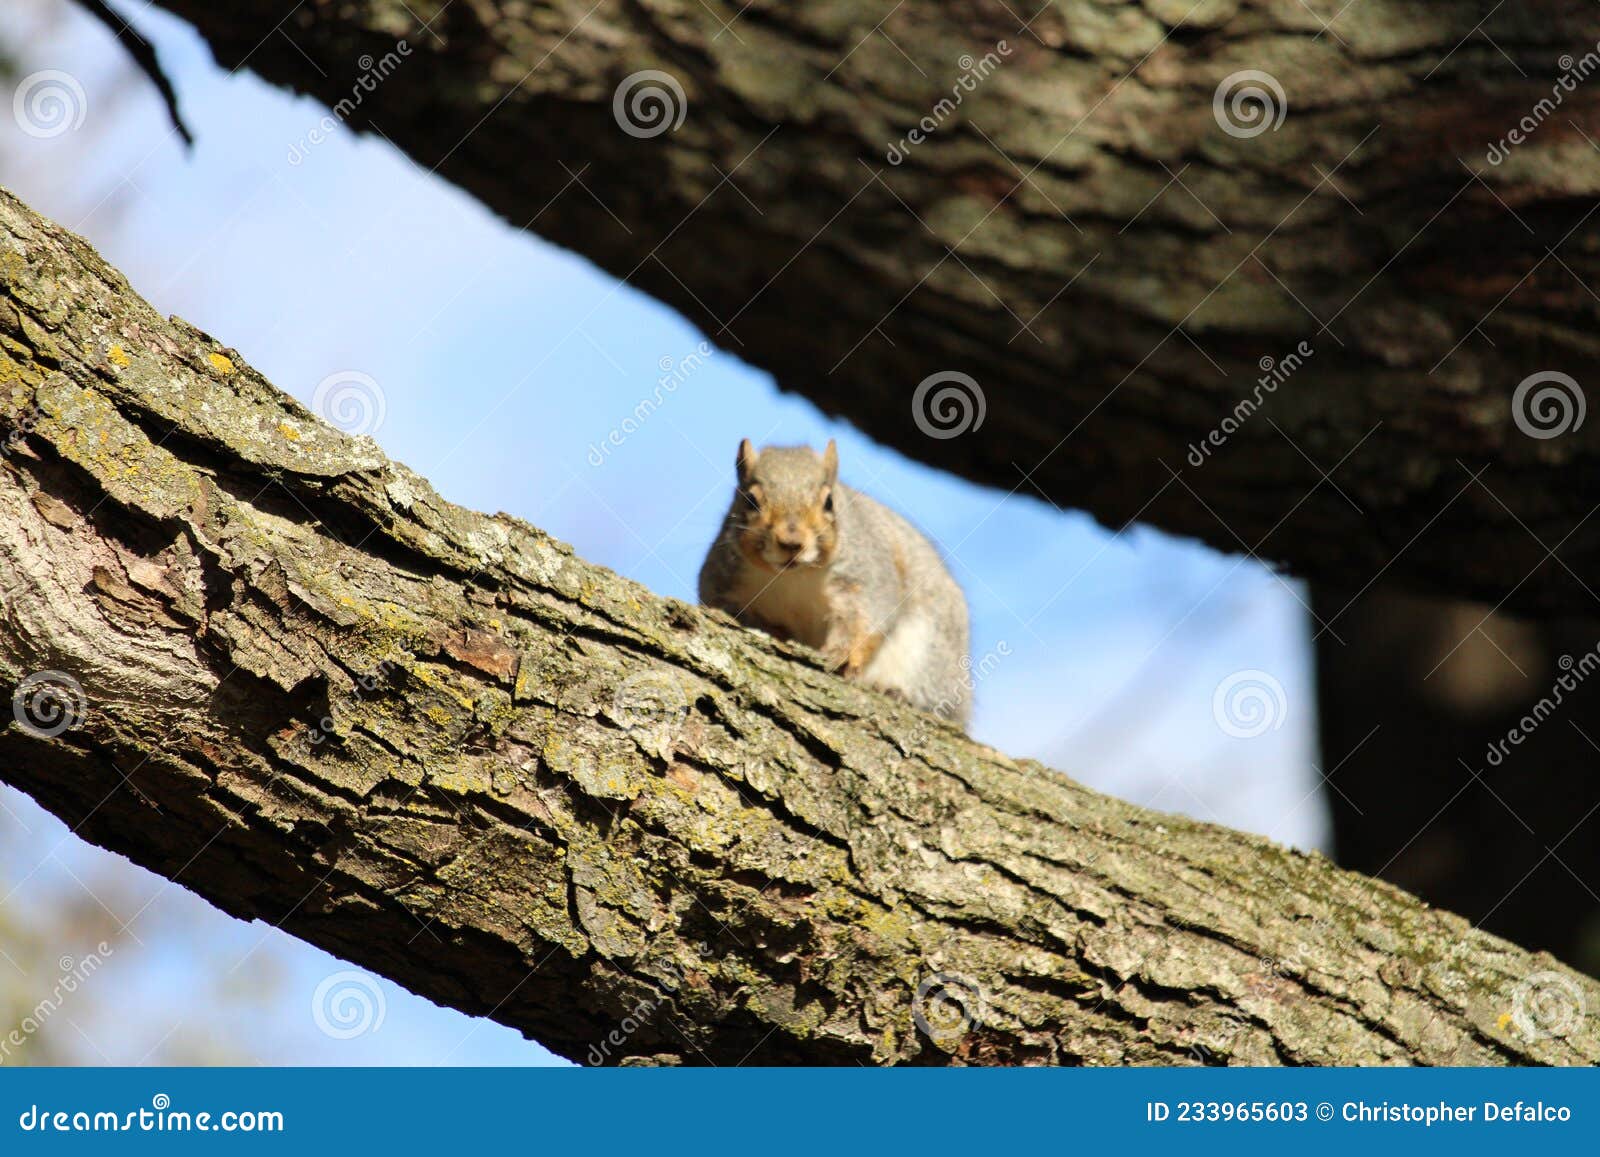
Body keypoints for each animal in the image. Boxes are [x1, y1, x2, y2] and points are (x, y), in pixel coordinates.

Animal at [698, 438, 972, 727]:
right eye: (750, 500)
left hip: (932, 655)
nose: (791, 543)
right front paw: (775, 633)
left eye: (829, 502)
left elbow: (867, 616)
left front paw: (842, 654)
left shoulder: (864, 573)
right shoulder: (723, 579)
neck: (794, 575)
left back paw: (895, 692)